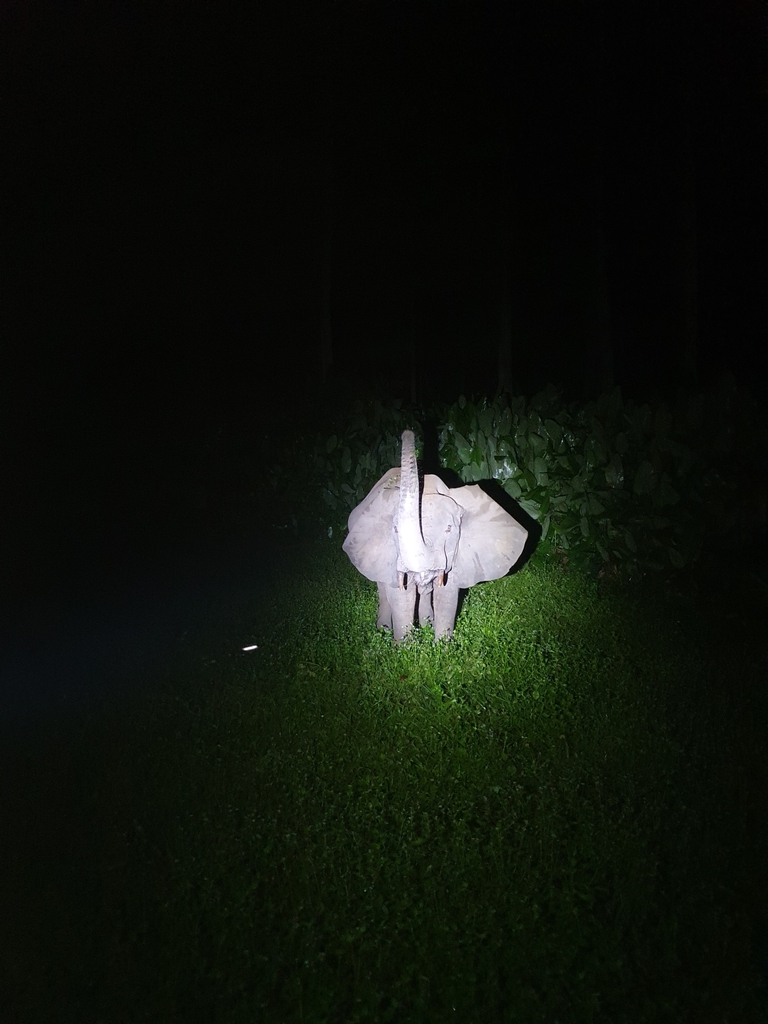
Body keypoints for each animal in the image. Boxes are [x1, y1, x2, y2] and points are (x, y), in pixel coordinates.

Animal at [342, 429, 528, 641]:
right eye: (395, 530)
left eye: (448, 528)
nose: (408, 433)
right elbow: (401, 596)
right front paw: (405, 647)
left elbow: (447, 594)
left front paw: (441, 645)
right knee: (383, 589)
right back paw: (383, 630)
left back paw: (426, 625)